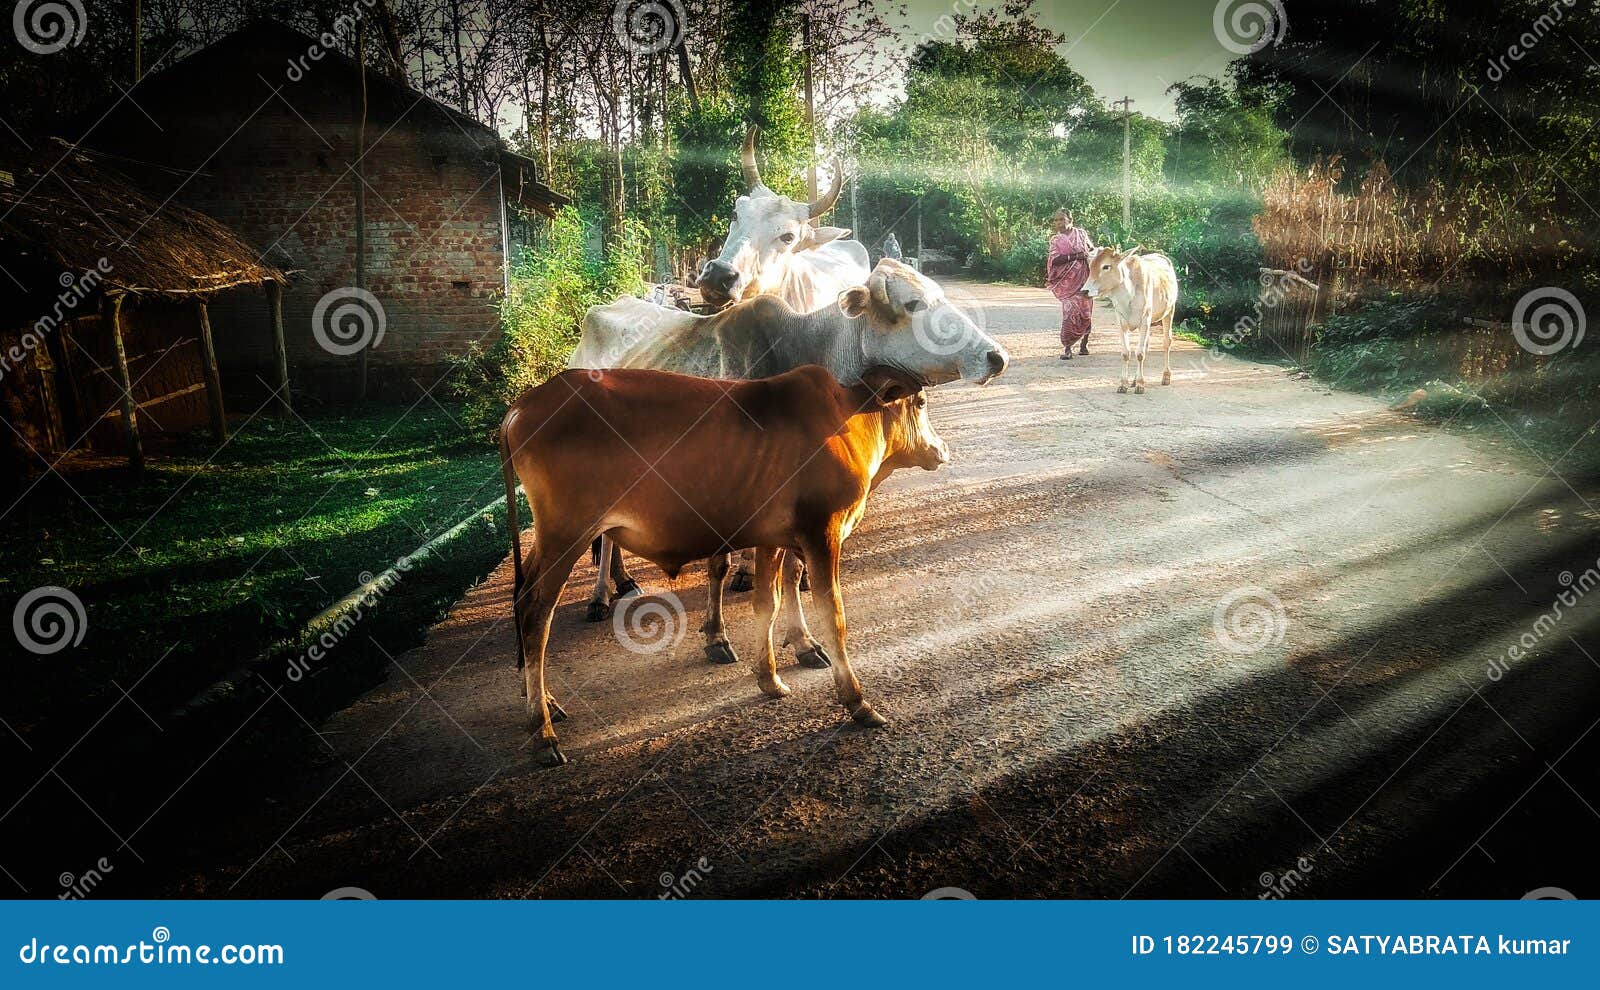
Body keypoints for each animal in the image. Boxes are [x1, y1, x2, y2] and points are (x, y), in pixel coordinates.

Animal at [498, 364, 949, 766]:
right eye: (921, 402)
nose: (942, 449)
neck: (848, 420)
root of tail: (526, 403)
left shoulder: (773, 539)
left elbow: (767, 603)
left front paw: (769, 678)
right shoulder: (822, 534)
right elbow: (833, 616)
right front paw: (857, 701)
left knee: (521, 600)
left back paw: (543, 702)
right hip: (566, 534)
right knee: (537, 613)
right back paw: (543, 731)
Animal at [570, 257, 1009, 669]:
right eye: (913, 303)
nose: (996, 356)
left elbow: (793, 572)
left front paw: (803, 642)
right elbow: (719, 565)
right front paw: (716, 637)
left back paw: (621, 583)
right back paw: (600, 595)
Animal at [1081, 246, 1179, 394]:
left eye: (1106, 266)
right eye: (1090, 265)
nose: (1084, 291)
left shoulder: (1145, 320)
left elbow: (1140, 353)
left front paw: (1140, 385)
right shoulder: (1121, 322)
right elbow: (1126, 353)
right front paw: (1124, 384)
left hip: (1169, 311)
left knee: (1166, 342)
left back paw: (1166, 376)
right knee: (1146, 346)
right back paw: (1133, 380)